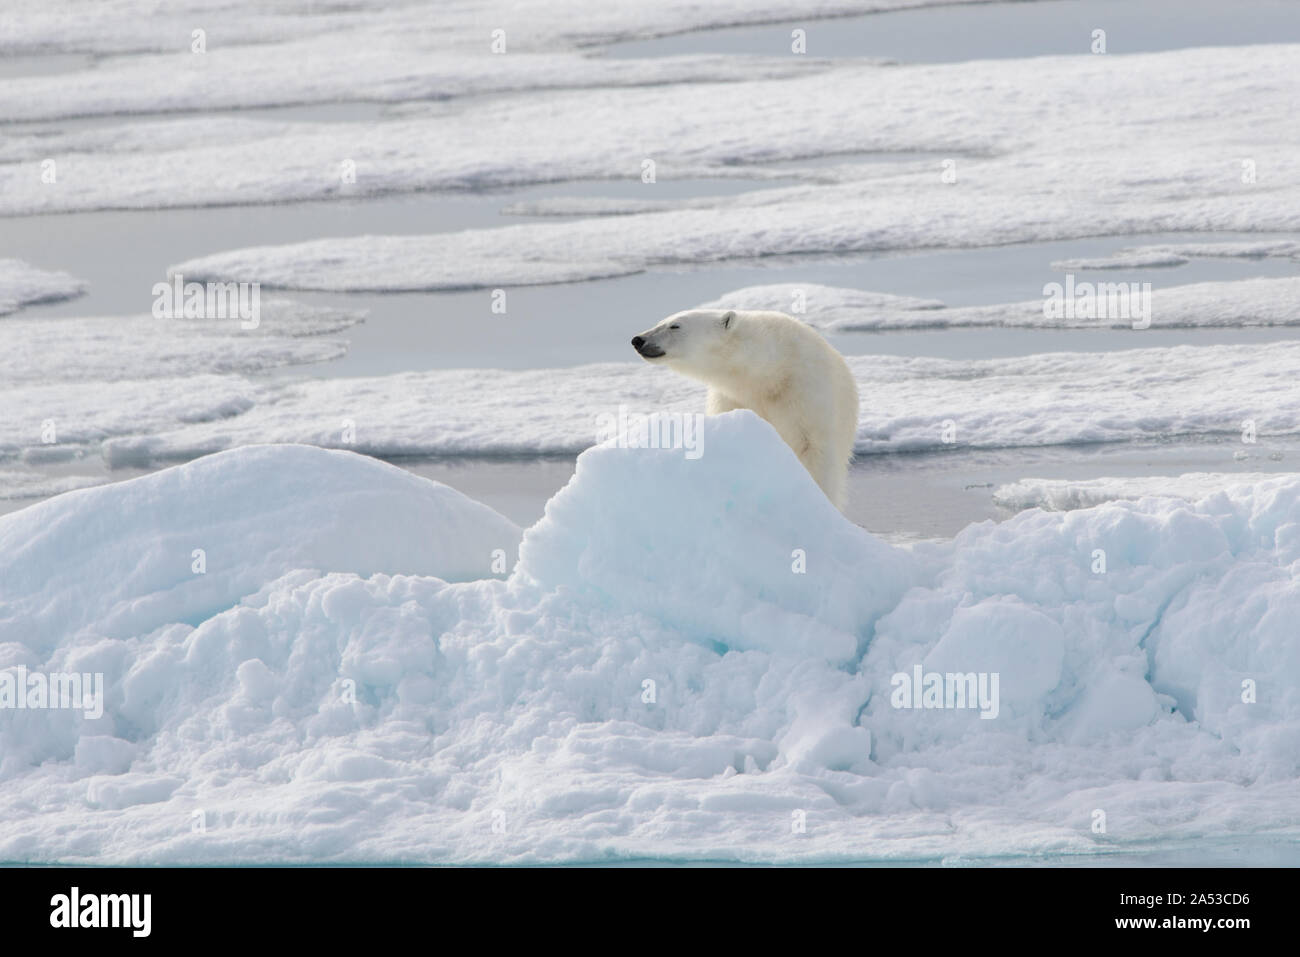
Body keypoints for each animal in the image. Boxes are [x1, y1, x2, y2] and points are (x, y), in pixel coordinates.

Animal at [631, 309, 859, 511]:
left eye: (675, 325)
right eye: (661, 320)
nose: (638, 339)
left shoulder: (808, 392)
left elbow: (812, 449)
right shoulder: (731, 398)